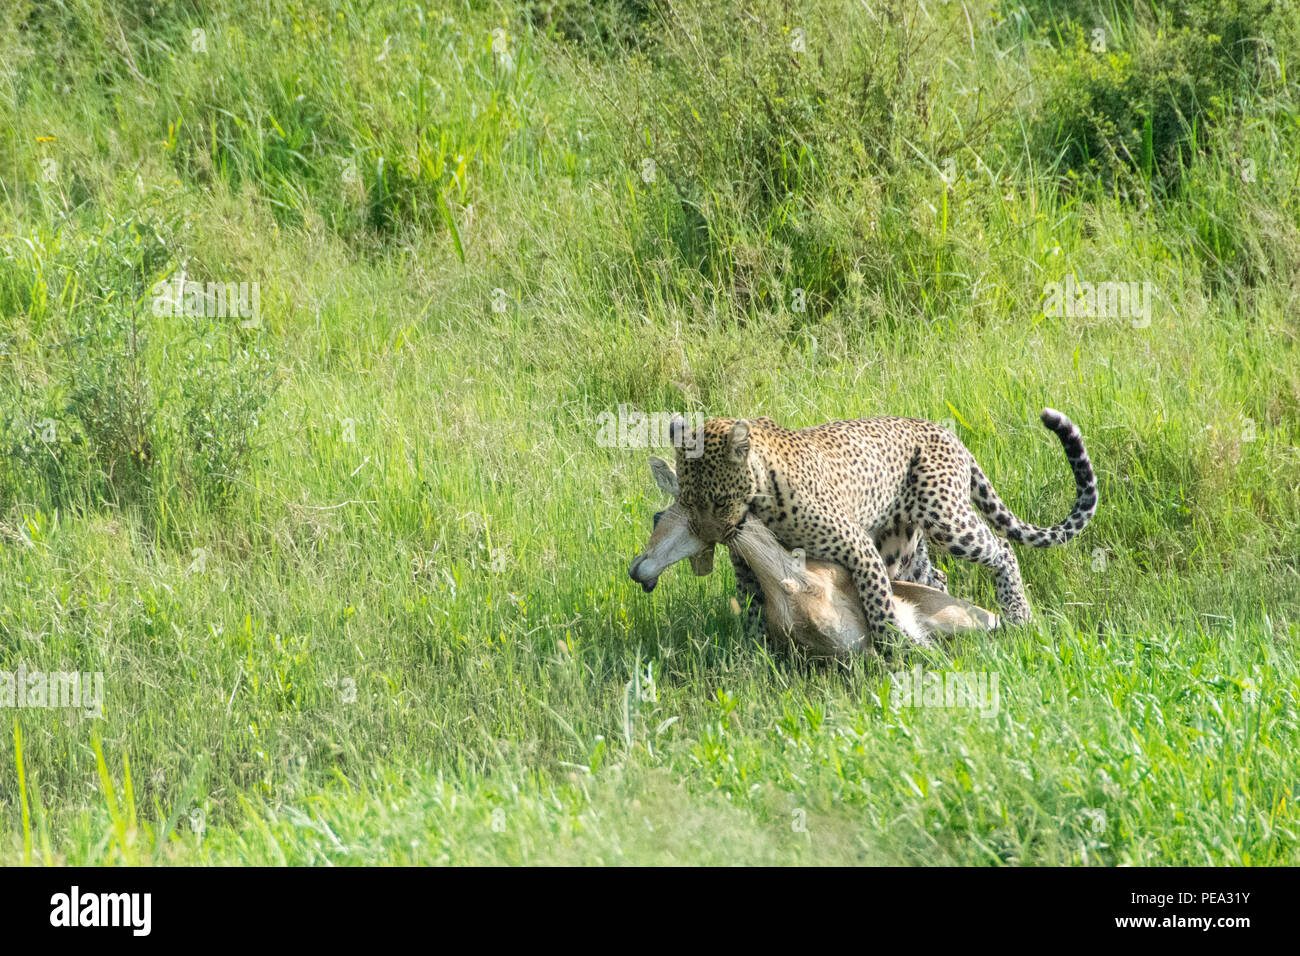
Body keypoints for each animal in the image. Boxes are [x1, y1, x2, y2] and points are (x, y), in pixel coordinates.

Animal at [653, 408, 1097, 649]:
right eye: (687, 503)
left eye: (718, 501)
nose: (712, 538)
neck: (760, 500)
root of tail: (945, 432)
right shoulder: (747, 569)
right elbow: (751, 609)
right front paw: (756, 655)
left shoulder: (857, 547)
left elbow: (878, 603)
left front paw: (893, 650)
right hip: (901, 547)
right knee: (936, 576)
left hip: (946, 519)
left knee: (1003, 549)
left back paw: (1018, 615)